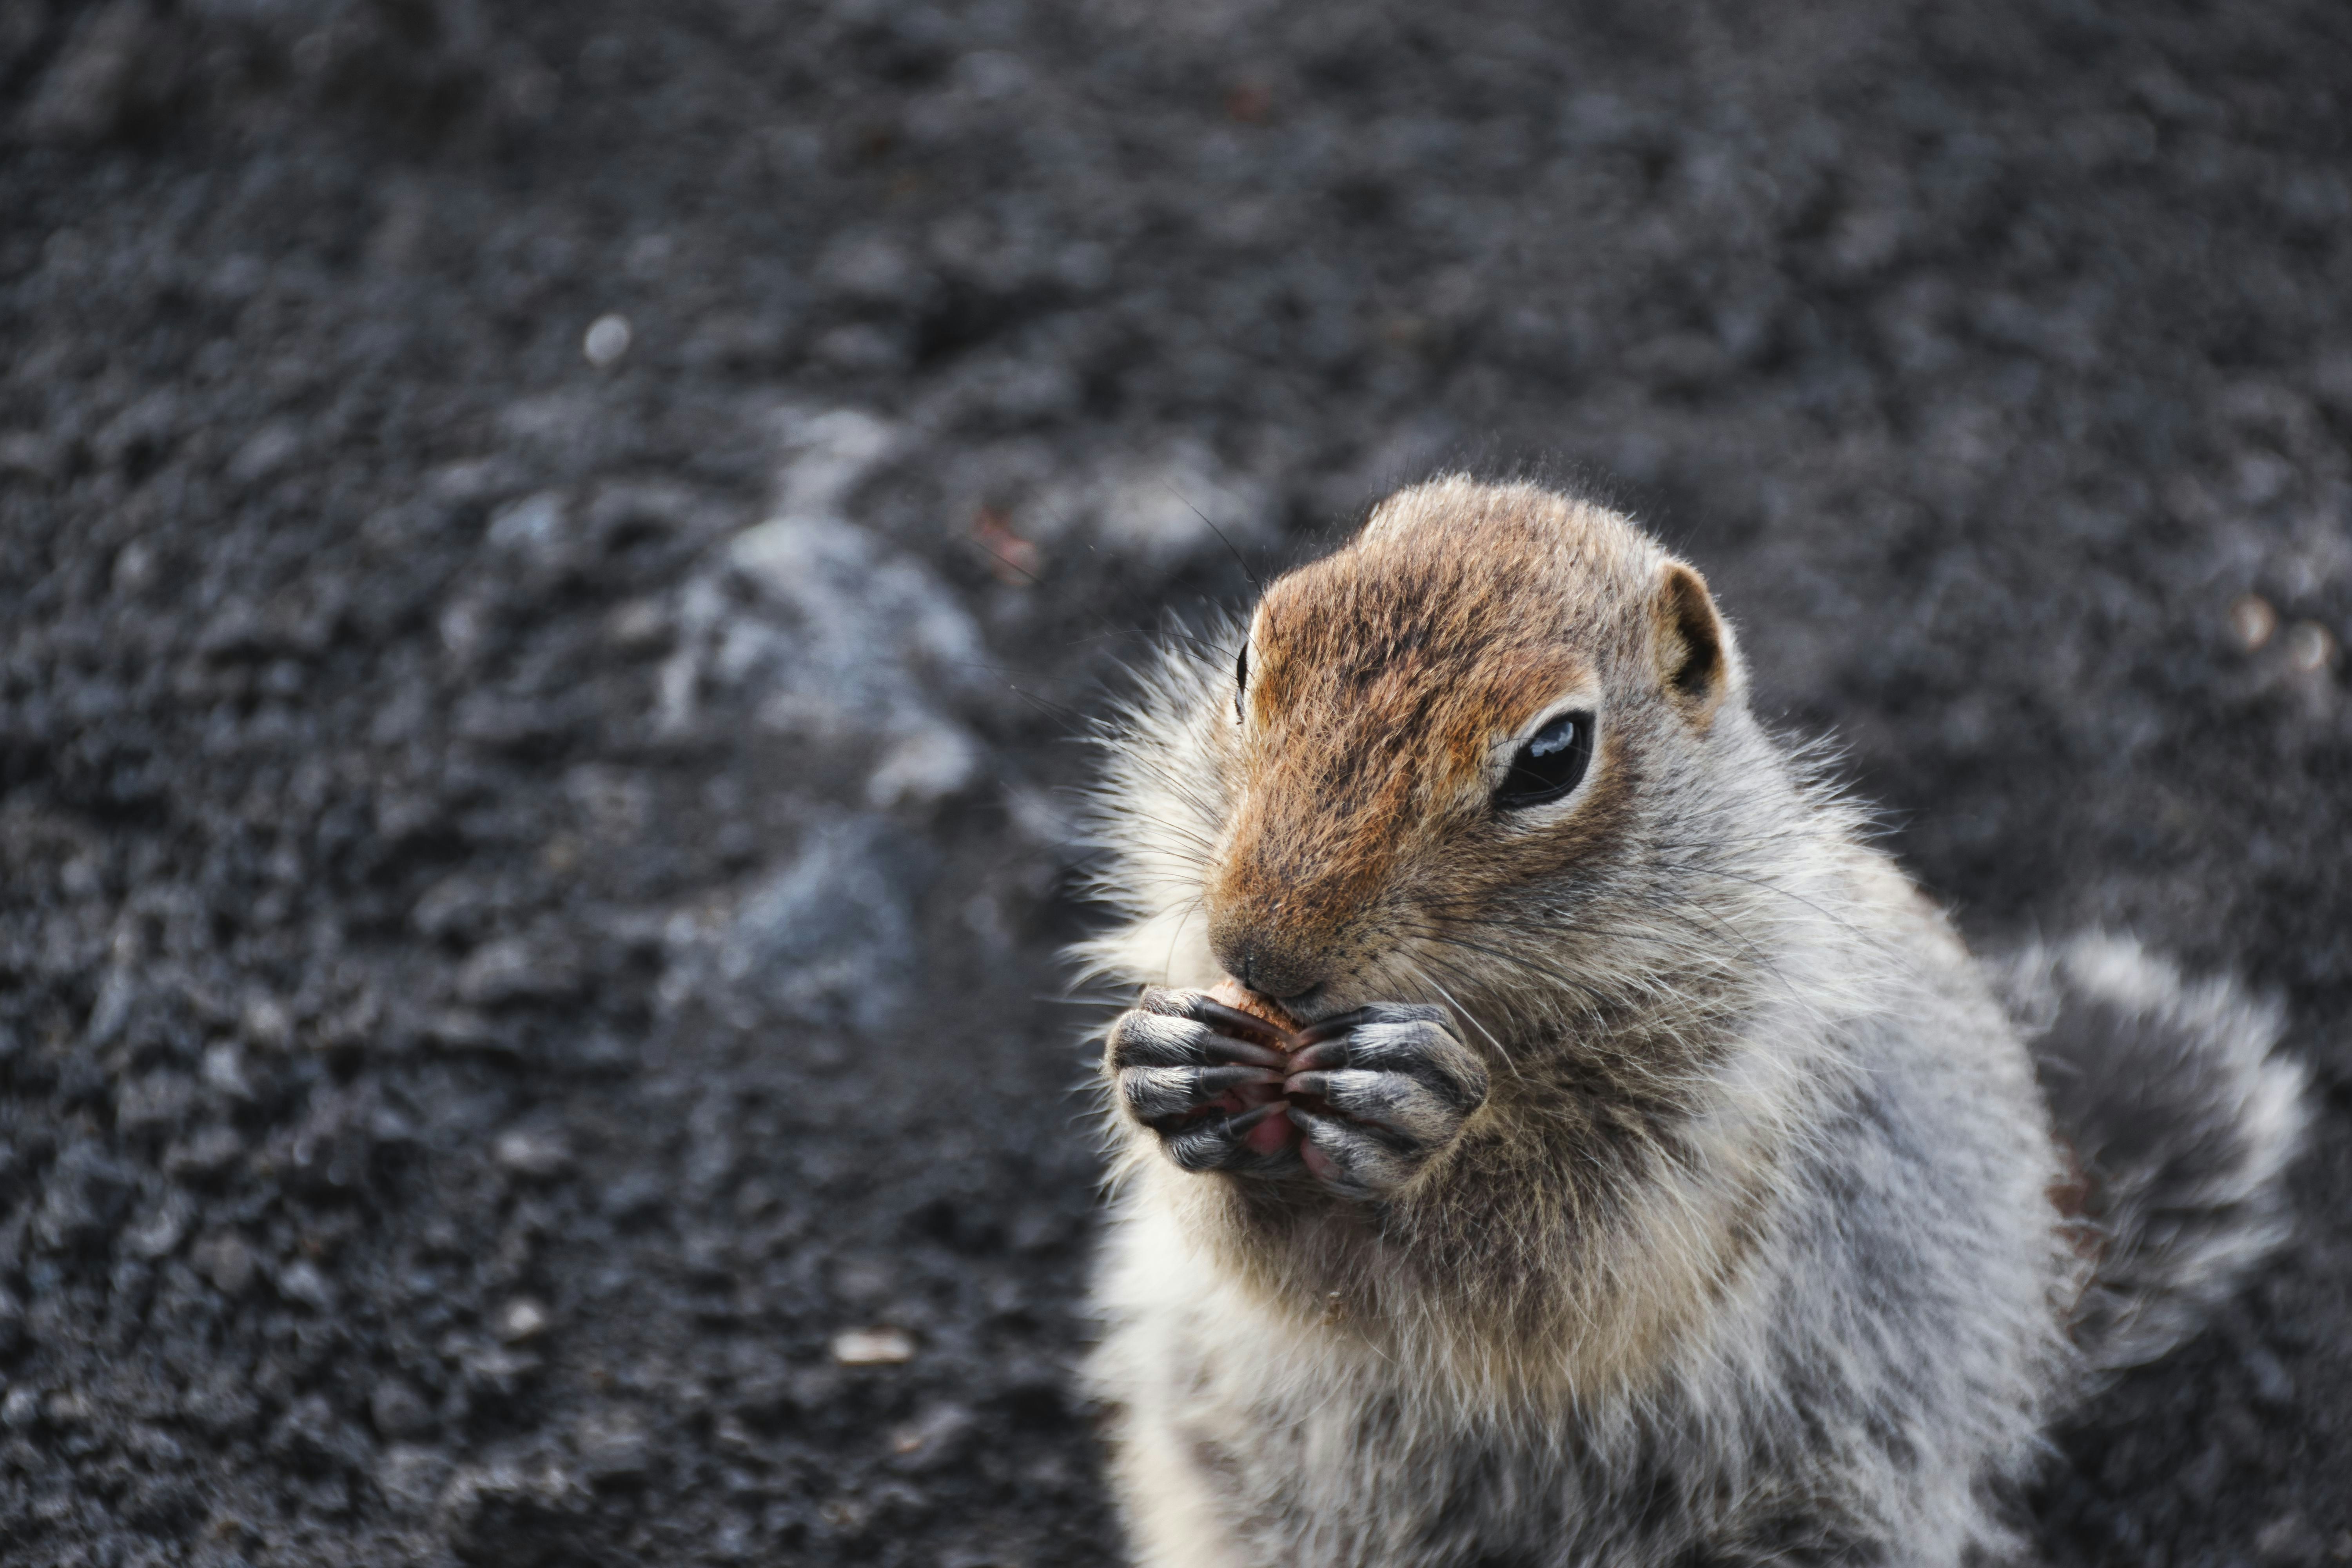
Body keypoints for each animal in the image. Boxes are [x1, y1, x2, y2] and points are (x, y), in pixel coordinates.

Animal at [1073, 477, 2309, 1566]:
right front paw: (1167, 1067)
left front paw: (1417, 1122)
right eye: (1249, 658)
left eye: (1554, 754)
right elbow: (1286, 1274)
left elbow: (1571, 1260)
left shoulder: (1729, 1098)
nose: (1260, 953)